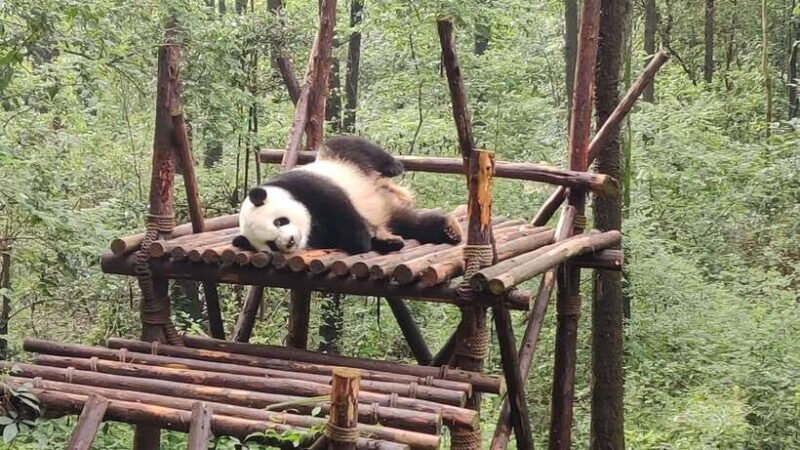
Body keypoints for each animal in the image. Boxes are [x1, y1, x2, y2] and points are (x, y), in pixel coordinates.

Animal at [232, 136, 463, 255]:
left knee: (349, 144)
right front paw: (385, 242)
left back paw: (394, 166)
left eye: (279, 221)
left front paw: (360, 241)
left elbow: (341, 210)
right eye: (271, 243)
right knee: (413, 223)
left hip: (343, 161)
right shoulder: (320, 237)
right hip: (389, 212)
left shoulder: (306, 185)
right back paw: (446, 230)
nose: (289, 242)